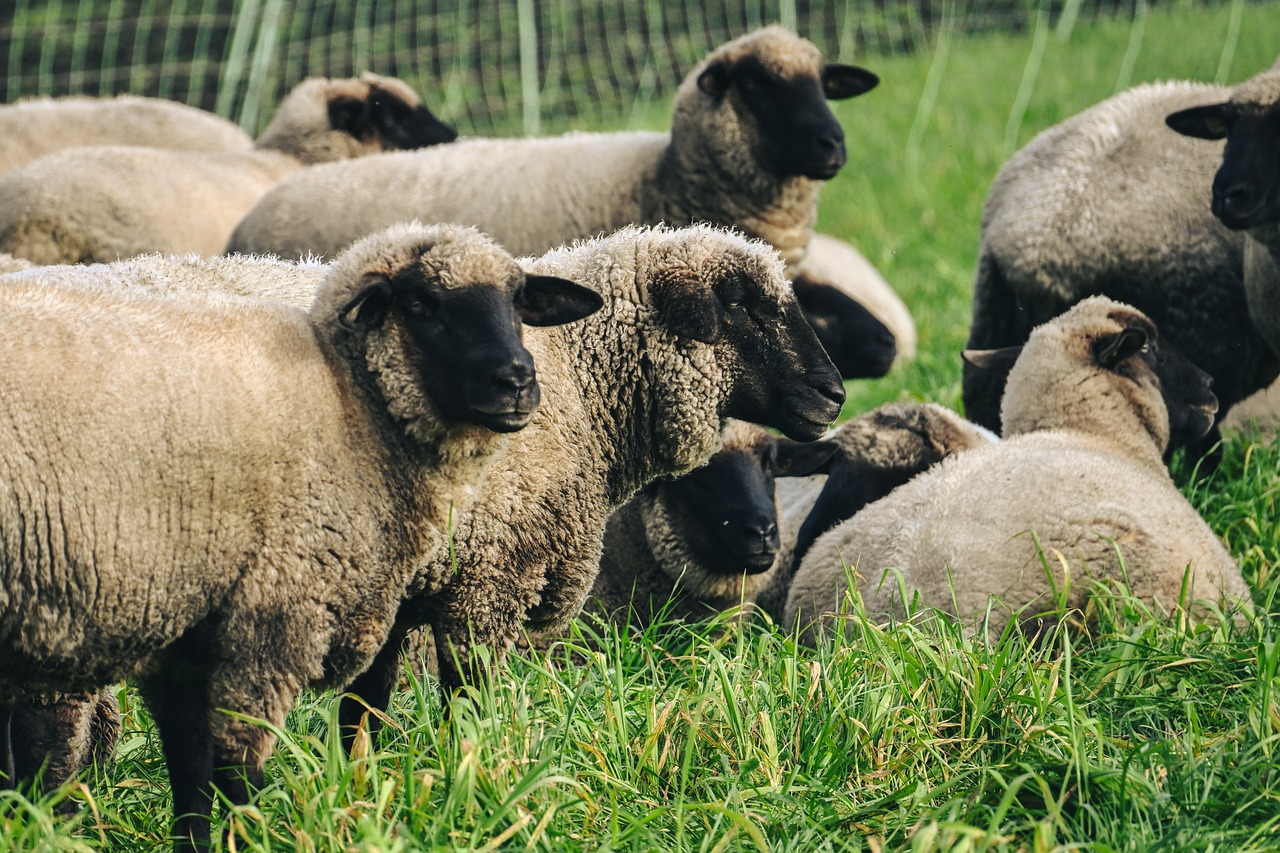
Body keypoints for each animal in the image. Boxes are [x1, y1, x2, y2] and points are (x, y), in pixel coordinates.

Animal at [0, 221, 603, 852]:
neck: (349, 407)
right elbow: (237, 766)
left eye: (517, 300)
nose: (517, 382)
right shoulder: (271, 618)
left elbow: (189, 765)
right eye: (419, 304)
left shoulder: (188, 629)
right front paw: (258, 833)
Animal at [336, 223, 846, 738]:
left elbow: (362, 713)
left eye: (770, 467)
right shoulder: (486, 580)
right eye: (738, 301)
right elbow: (465, 706)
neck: (575, 379)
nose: (834, 395)